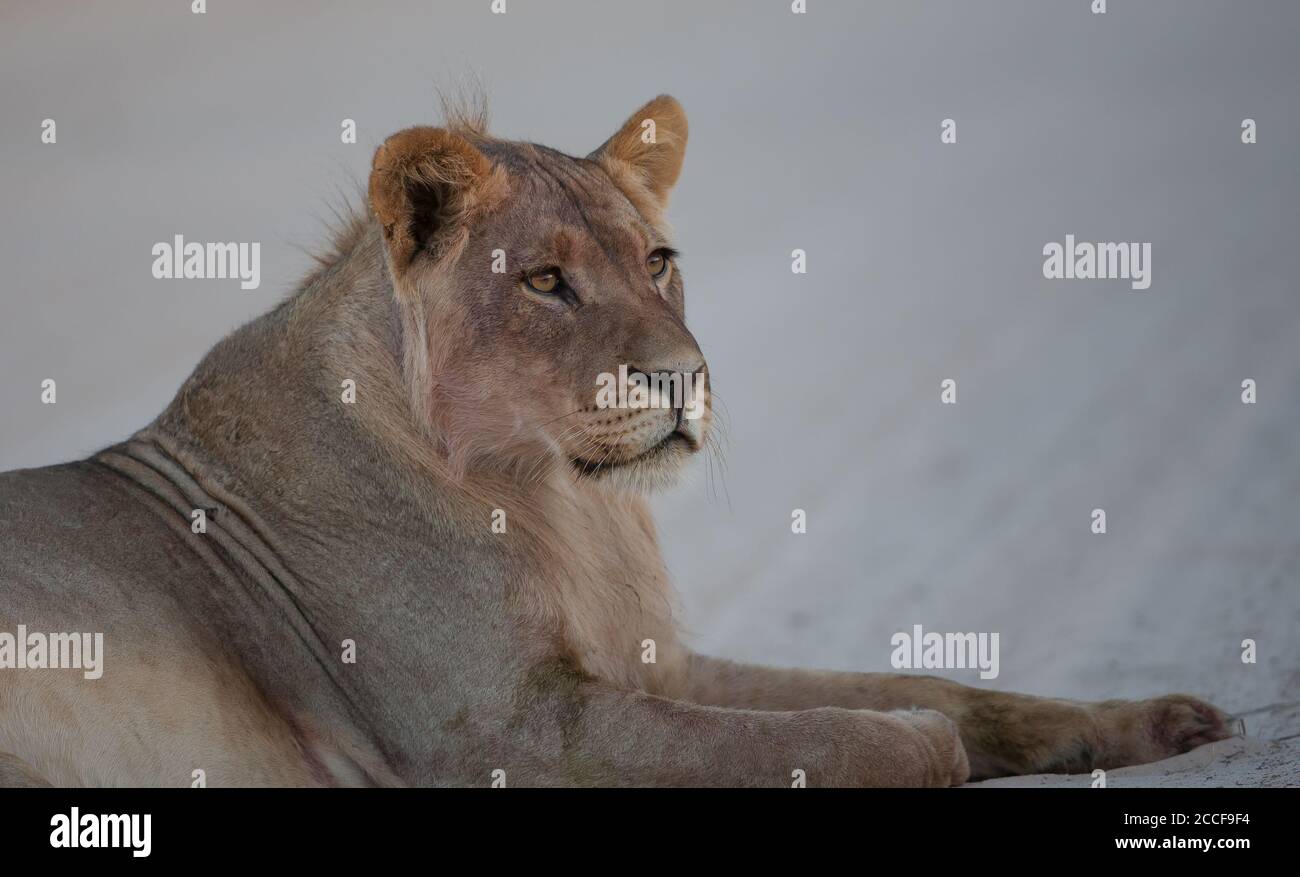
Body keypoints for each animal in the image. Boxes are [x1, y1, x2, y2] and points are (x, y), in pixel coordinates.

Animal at [0, 95, 1237, 786]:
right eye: (545, 281)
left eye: (655, 261)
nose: (680, 376)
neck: (567, 504)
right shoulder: (502, 734)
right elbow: (864, 735)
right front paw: (919, 744)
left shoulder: (651, 662)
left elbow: (921, 684)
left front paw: (1156, 721)